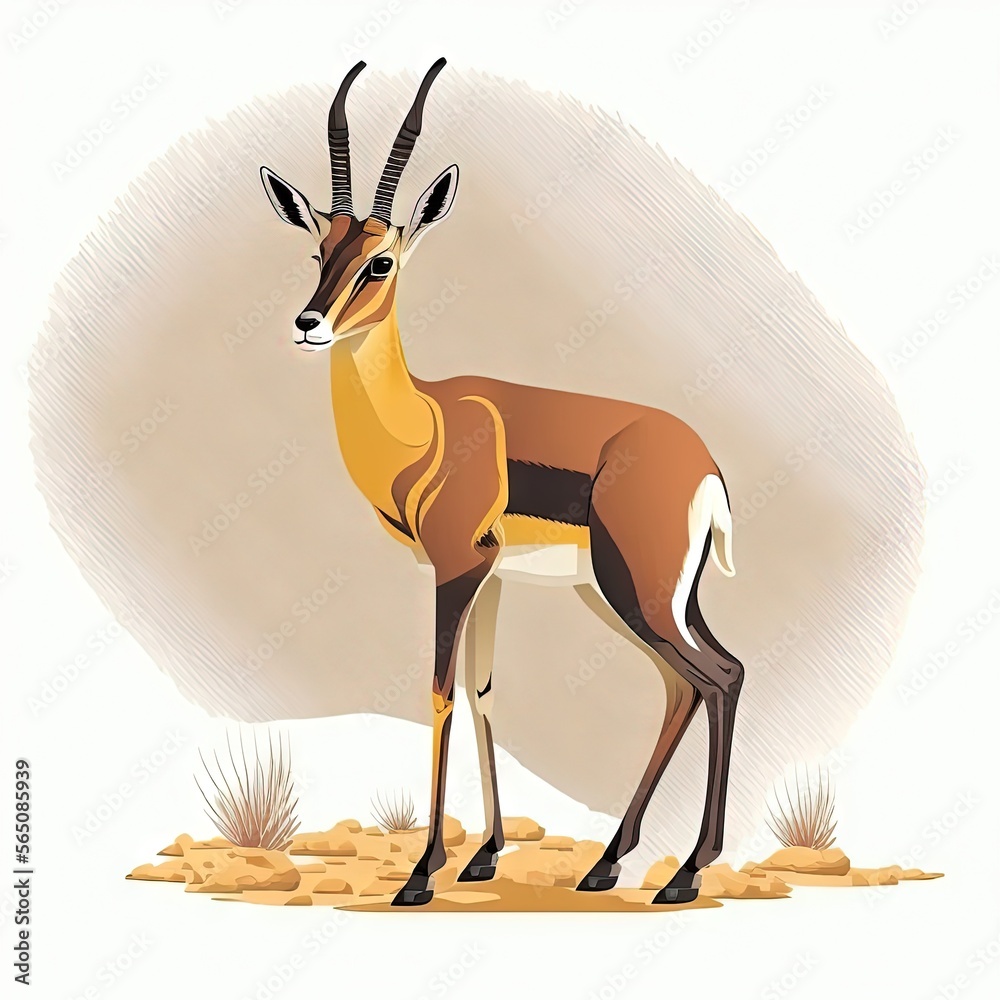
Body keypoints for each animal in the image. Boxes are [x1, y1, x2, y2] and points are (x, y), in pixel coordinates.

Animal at [260, 58, 744, 906]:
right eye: (319, 251)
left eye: (381, 260)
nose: (308, 325)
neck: (427, 422)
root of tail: (703, 463)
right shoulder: (493, 575)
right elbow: (484, 691)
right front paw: (483, 854)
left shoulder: (457, 567)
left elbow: (440, 692)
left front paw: (421, 874)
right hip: (630, 596)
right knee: (690, 683)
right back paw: (609, 864)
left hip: (638, 594)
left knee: (714, 678)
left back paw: (682, 875)